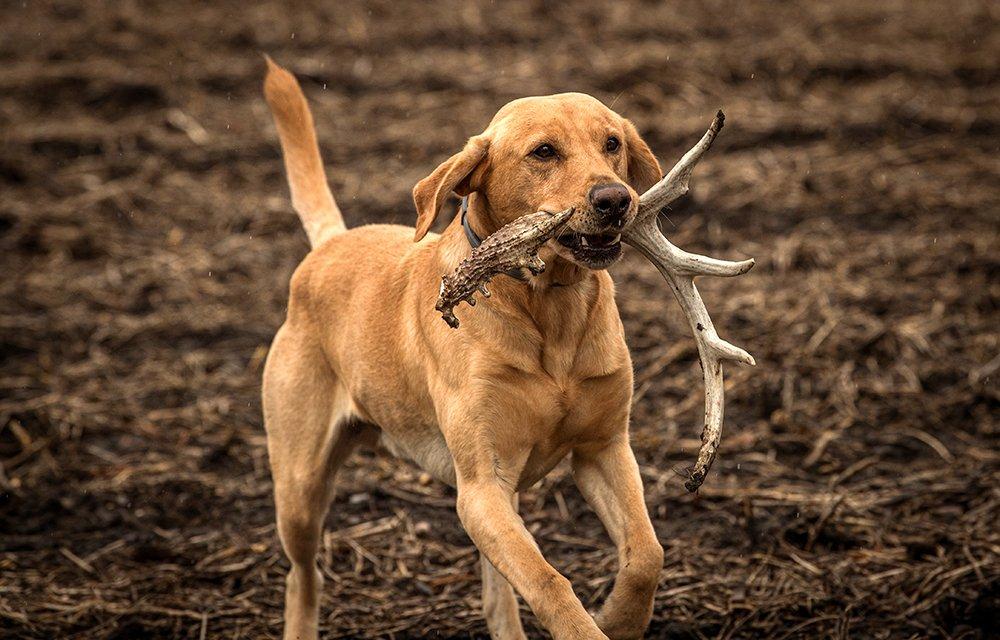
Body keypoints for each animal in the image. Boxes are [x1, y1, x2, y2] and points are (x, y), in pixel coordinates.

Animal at [260, 56, 664, 640]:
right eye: (544, 152)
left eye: (612, 142)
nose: (615, 199)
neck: (547, 305)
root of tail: (332, 243)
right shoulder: (480, 489)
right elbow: (548, 581)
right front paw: (591, 624)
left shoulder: (603, 448)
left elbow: (646, 556)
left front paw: (619, 618)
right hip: (299, 484)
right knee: (303, 573)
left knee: (499, 594)